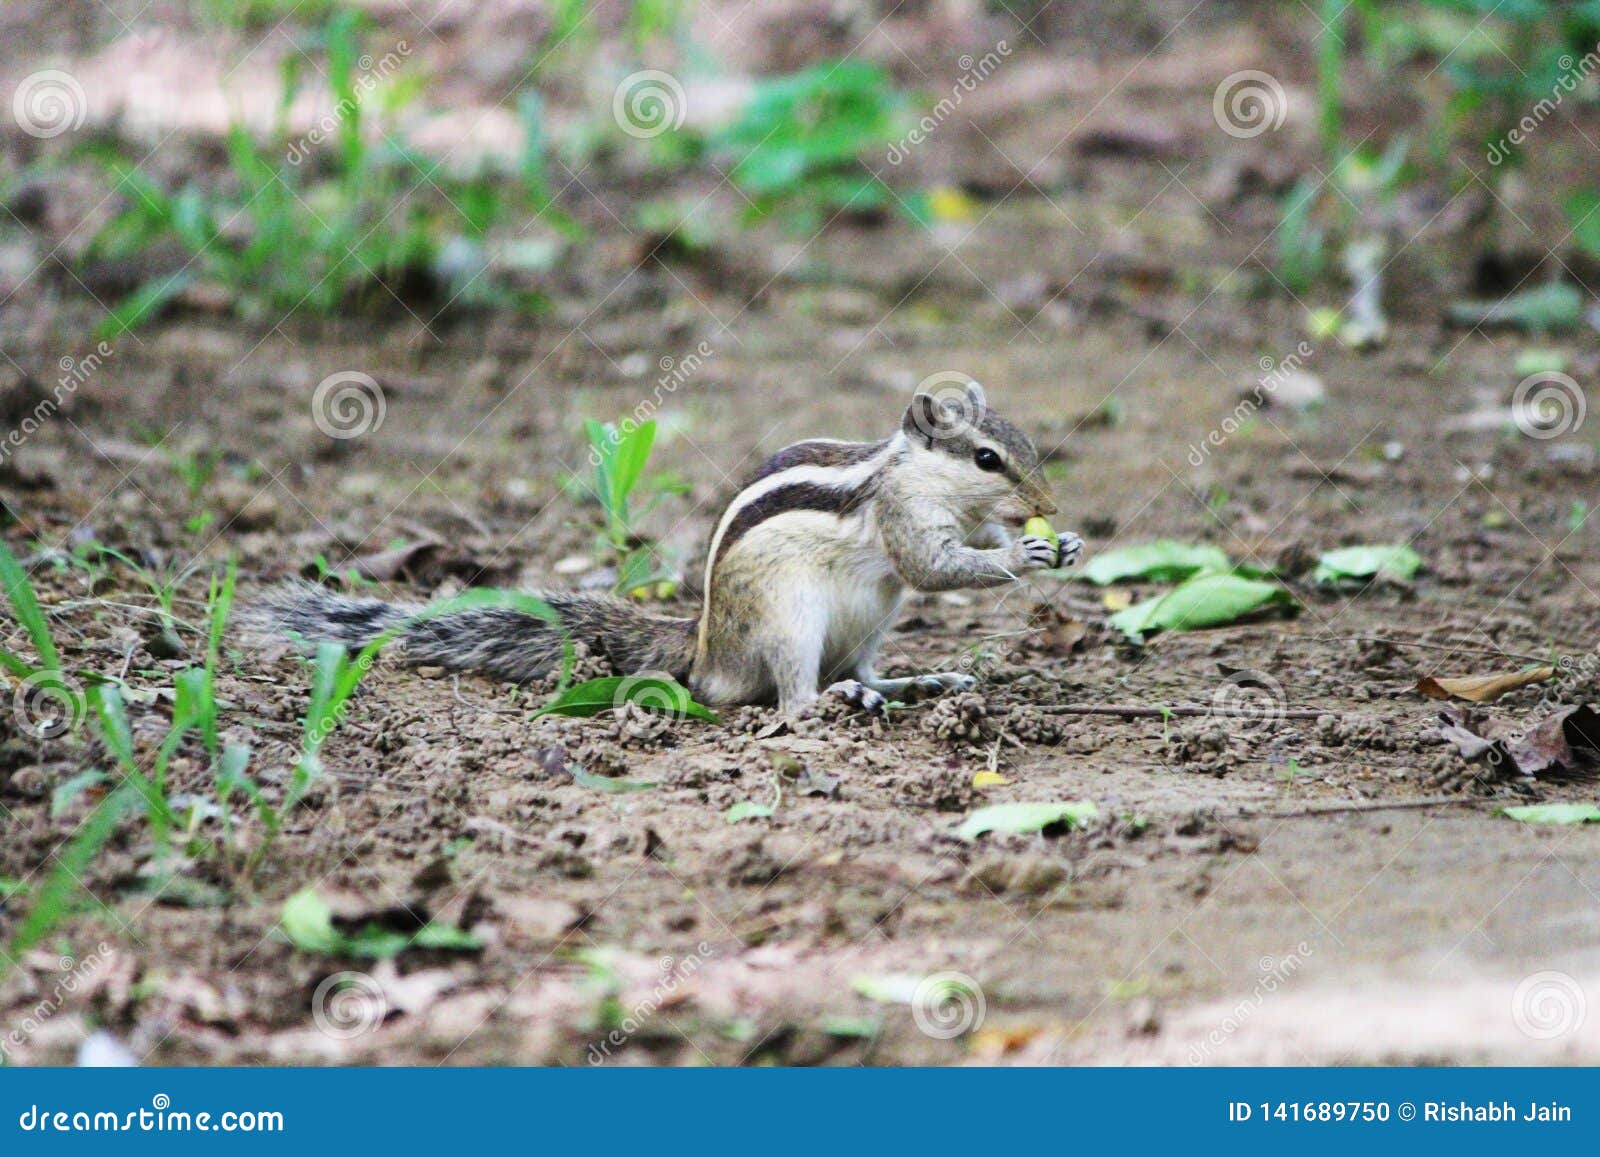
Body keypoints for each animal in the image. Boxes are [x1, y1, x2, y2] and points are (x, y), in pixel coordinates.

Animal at [248, 381, 1082, 716]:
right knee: (791, 699)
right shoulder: (902, 519)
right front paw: (1021, 557)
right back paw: (842, 700)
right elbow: (933, 566)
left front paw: (1061, 543)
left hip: (869, 625)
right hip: (789, 622)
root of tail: (704, 647)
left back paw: (918, 682)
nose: (1050, 506)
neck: (912, 472)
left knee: (862, 670)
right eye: (987, 458)